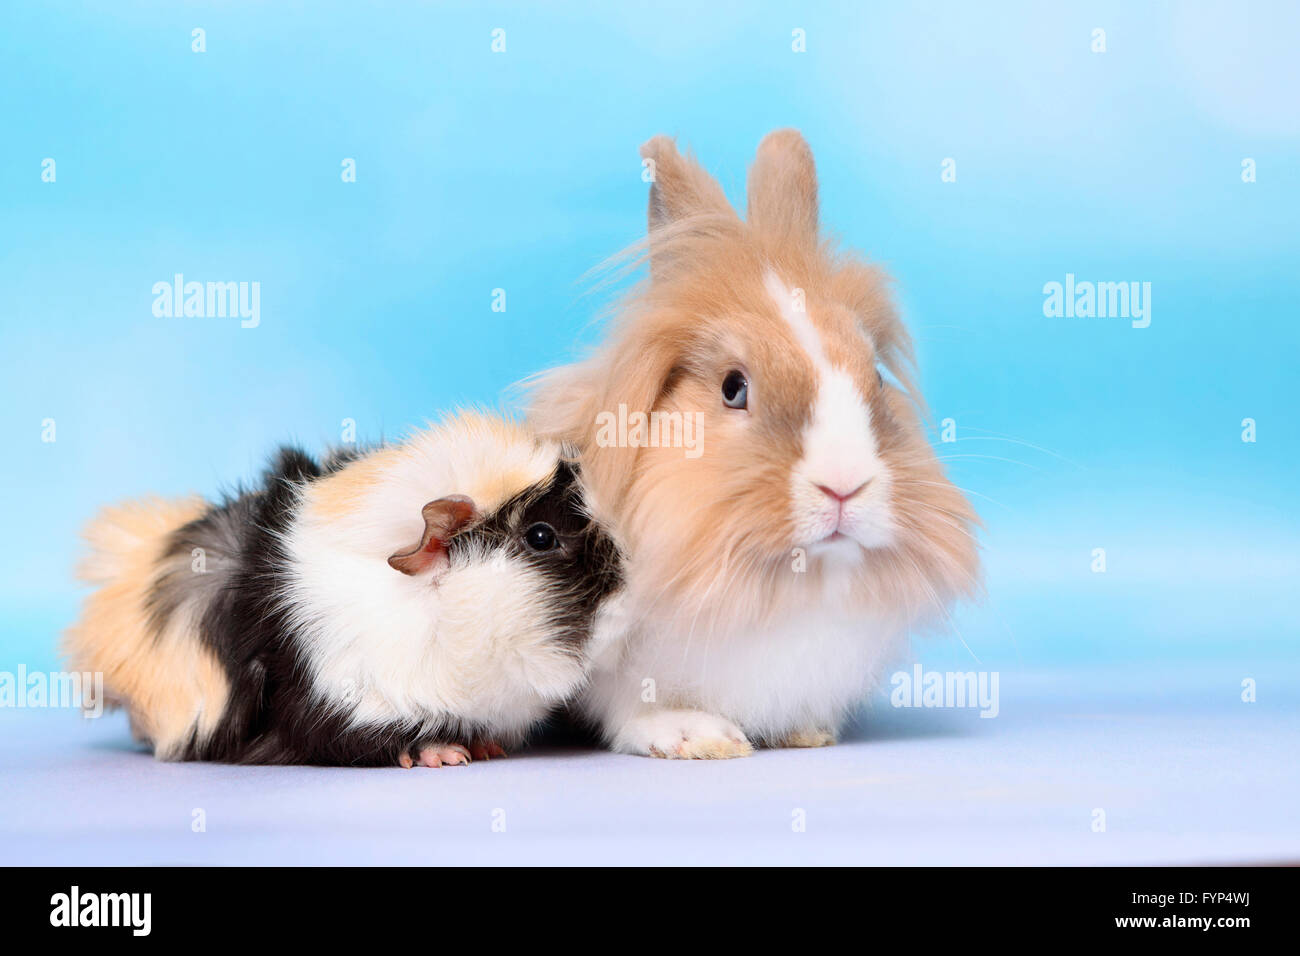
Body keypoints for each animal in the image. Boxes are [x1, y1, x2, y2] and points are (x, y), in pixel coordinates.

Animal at [528, 129, 980, 758]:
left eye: (876, 377)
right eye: (733, 388)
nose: (844, 486)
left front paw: (807, 733)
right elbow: (635, 710)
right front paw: (698, 737)